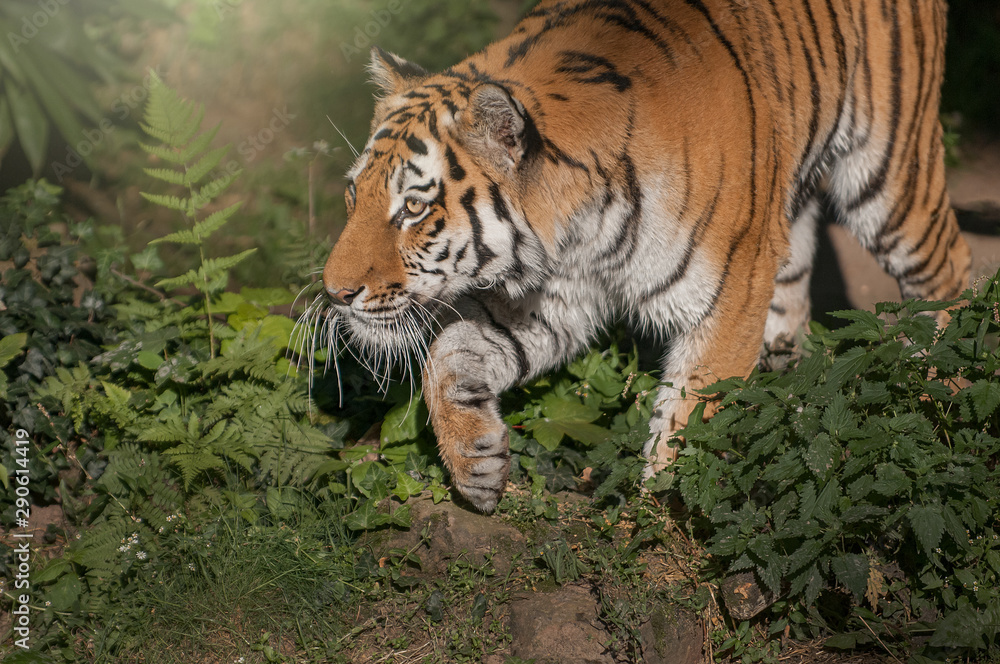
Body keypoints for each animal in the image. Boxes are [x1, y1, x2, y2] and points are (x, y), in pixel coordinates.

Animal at [318, 0, 971, 513]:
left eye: (413, 208)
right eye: (353, 193)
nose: (334, 293)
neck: (578, 234)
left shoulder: (728, 298)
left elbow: (687, 432)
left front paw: (661, 533)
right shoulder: (554, 301)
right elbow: (448, 356)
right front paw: (474, 461)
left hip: (890, 169)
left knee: (949, 268)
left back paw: (938, 393)